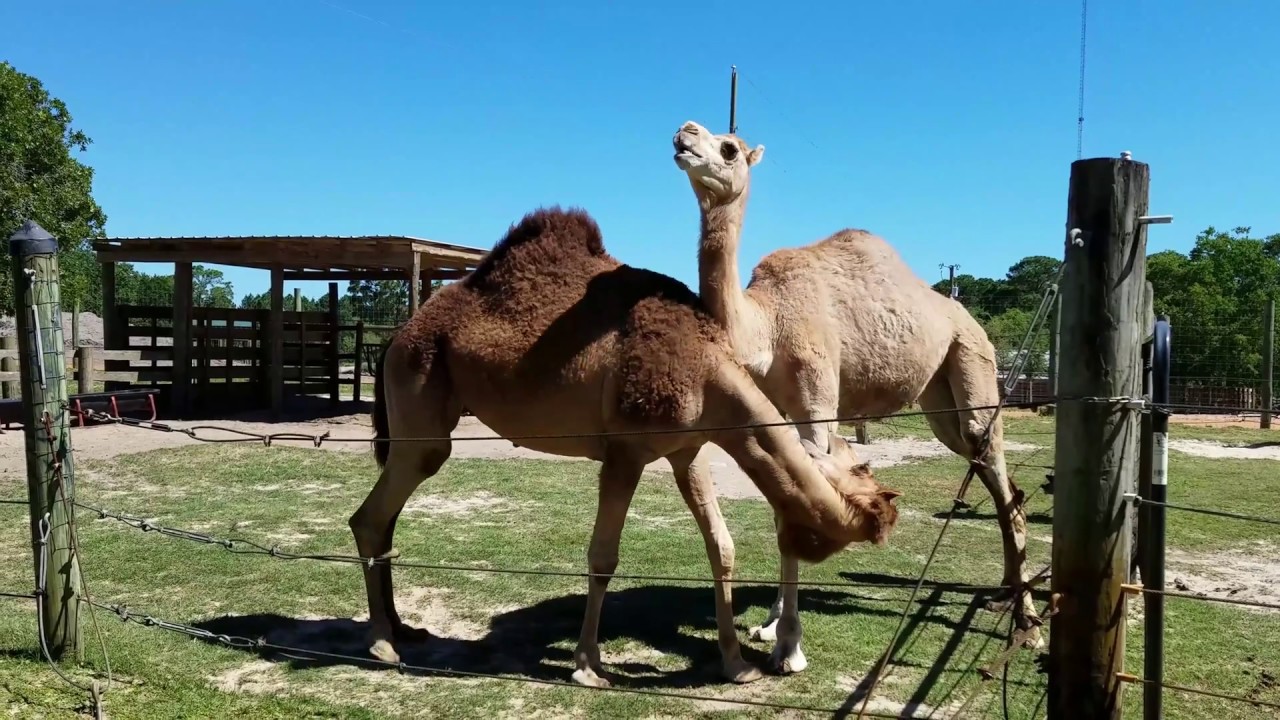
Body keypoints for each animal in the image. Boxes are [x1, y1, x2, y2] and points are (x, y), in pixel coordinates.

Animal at [351, 206, 903, 688]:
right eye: (864, 478)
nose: (888, 514)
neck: (706, 366)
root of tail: (398, 334)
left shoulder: (689, 450)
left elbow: (721, 546)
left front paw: (736, 665)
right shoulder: (625, 451)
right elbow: (603, 556)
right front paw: (588, 668)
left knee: (387, 516)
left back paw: (402, 628)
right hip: (420, 398)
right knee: (372, 515)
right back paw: (382, 644)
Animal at [669, 121, 1041, 659]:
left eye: (730, 148)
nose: (685, 132)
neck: (766, 325)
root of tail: (967, 318)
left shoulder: (818, 402)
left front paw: (788, 646)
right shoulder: (777, 409)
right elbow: (784, 505)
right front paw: (769, 625)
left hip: (974, 363)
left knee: (991, 458)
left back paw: (1029, 625)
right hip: (938, 399)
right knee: (999, 483)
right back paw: (1004, 598)